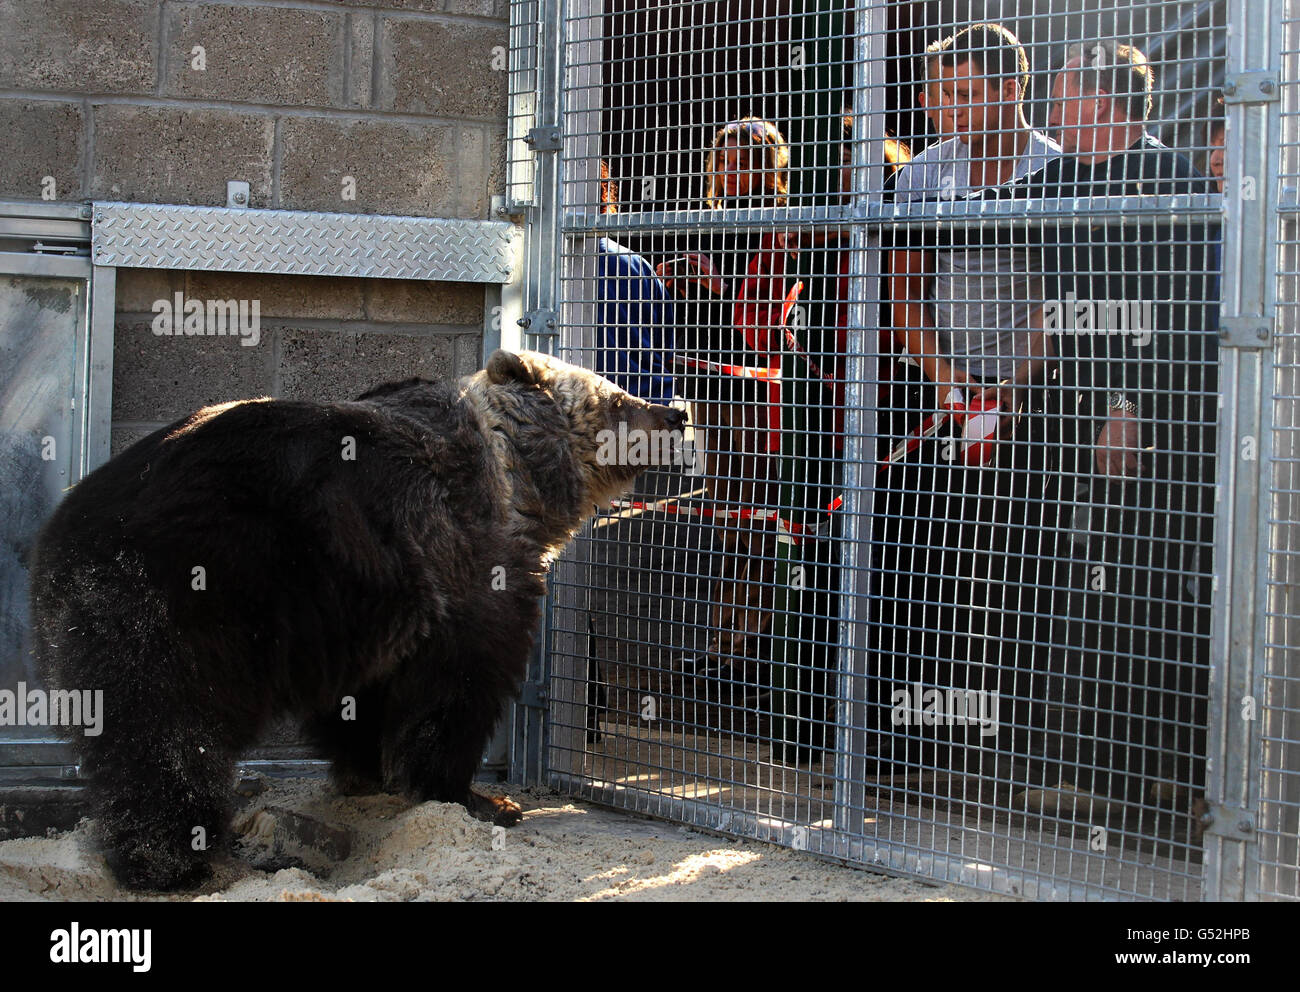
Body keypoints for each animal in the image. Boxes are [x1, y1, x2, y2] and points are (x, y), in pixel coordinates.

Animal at [29, 349, 684, 891]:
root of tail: (67, 535)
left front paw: (365, 771)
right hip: (194, 591)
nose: (675, 412)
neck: (514, 481)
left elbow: (362, 699)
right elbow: (458, 690)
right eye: (617, 397)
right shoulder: (463, 565)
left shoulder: (370, 602)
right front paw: (474, 798)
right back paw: (174, 861)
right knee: (165, 735)